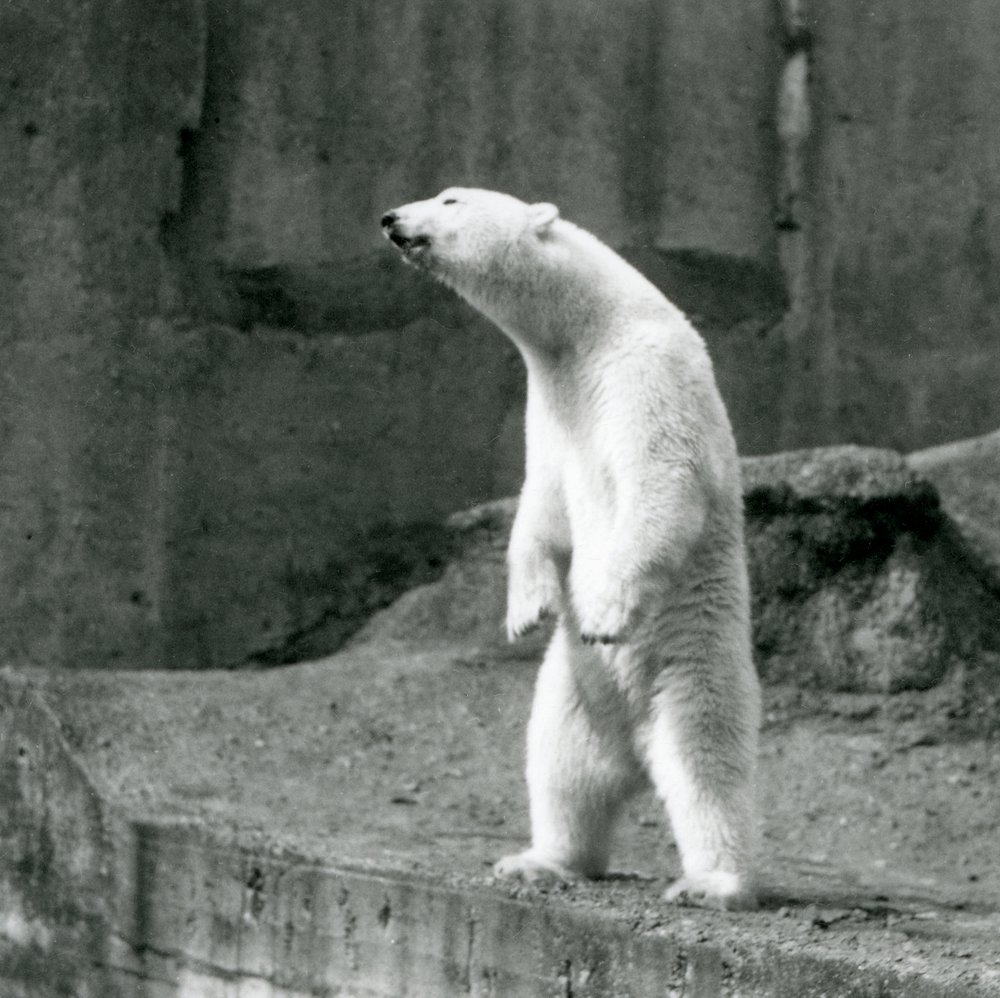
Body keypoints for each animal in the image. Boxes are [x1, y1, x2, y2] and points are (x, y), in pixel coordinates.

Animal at [381, 188, 761, 909]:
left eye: (450, 197)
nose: (390, 219)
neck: (590, 330)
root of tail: (635, 748)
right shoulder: (554, 402)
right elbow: (544, 503)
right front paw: (524, 610)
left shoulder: (647, 374)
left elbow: (664, 482)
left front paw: (606, 612)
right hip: (574, 692)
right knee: (561, 768)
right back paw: (540, 861)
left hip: (693, 660)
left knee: (705, 762)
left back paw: (715, 881)